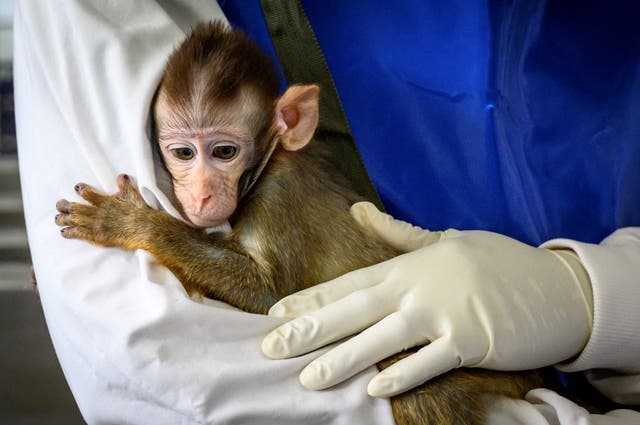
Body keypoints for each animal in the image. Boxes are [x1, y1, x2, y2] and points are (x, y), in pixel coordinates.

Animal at [55, 22, 546, 425]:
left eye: (224, 152)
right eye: (183, 153)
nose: (202, 193)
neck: (270, 162)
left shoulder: (278, 199)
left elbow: (272, 295)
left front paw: (132, 222)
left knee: (423, 392)